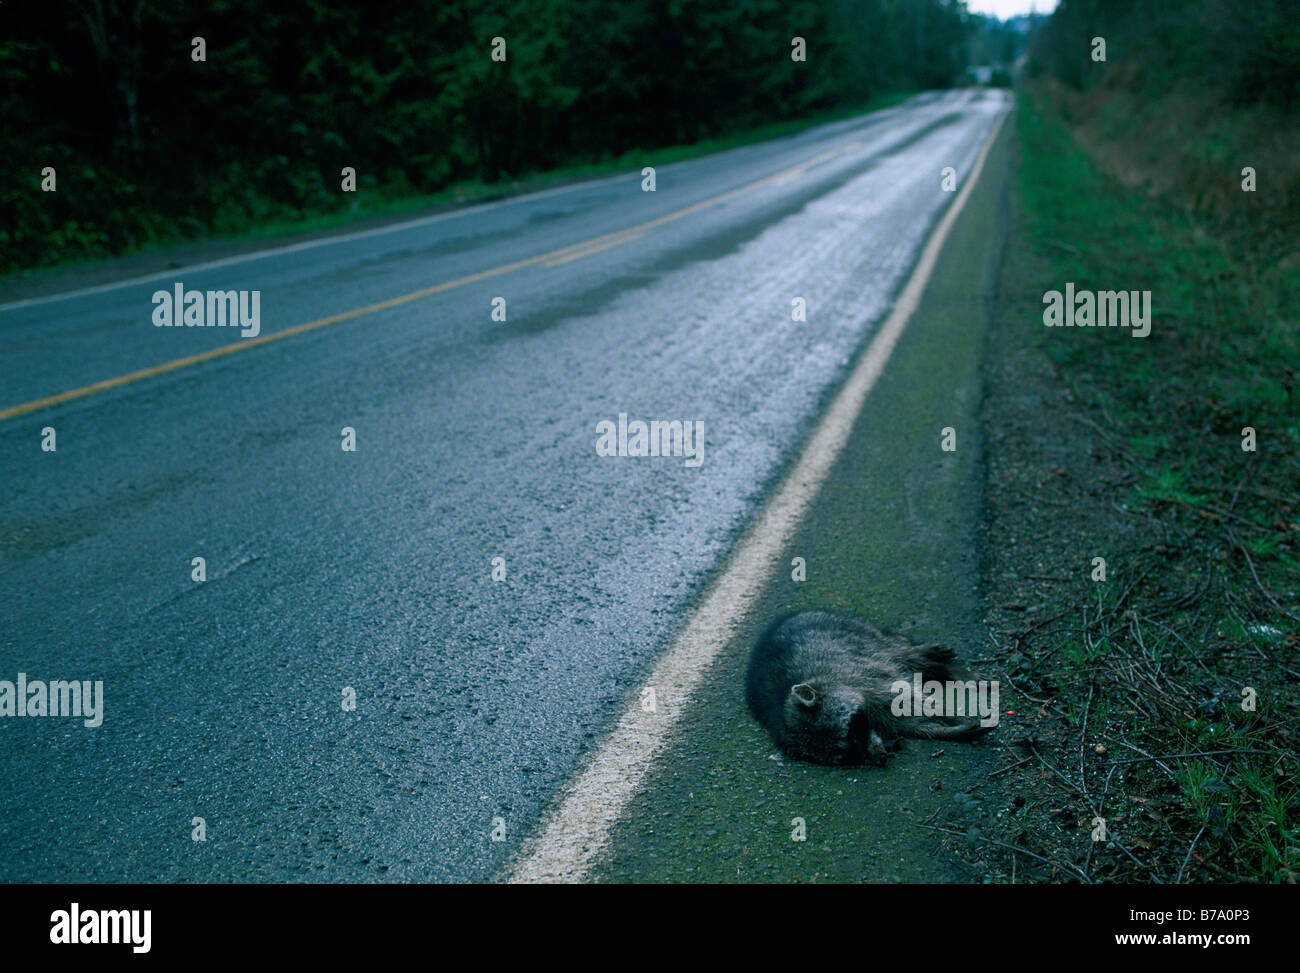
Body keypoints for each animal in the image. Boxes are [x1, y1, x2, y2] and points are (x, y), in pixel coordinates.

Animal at [745, 610, 994, 766]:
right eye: (846, 755)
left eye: (853, 730)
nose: (881, 758)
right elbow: (914, 725)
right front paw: (953, 731)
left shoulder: (865, 679)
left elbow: (917, 701)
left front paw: (956, 718)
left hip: (858, 635)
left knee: (902, 652)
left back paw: (943, 666)